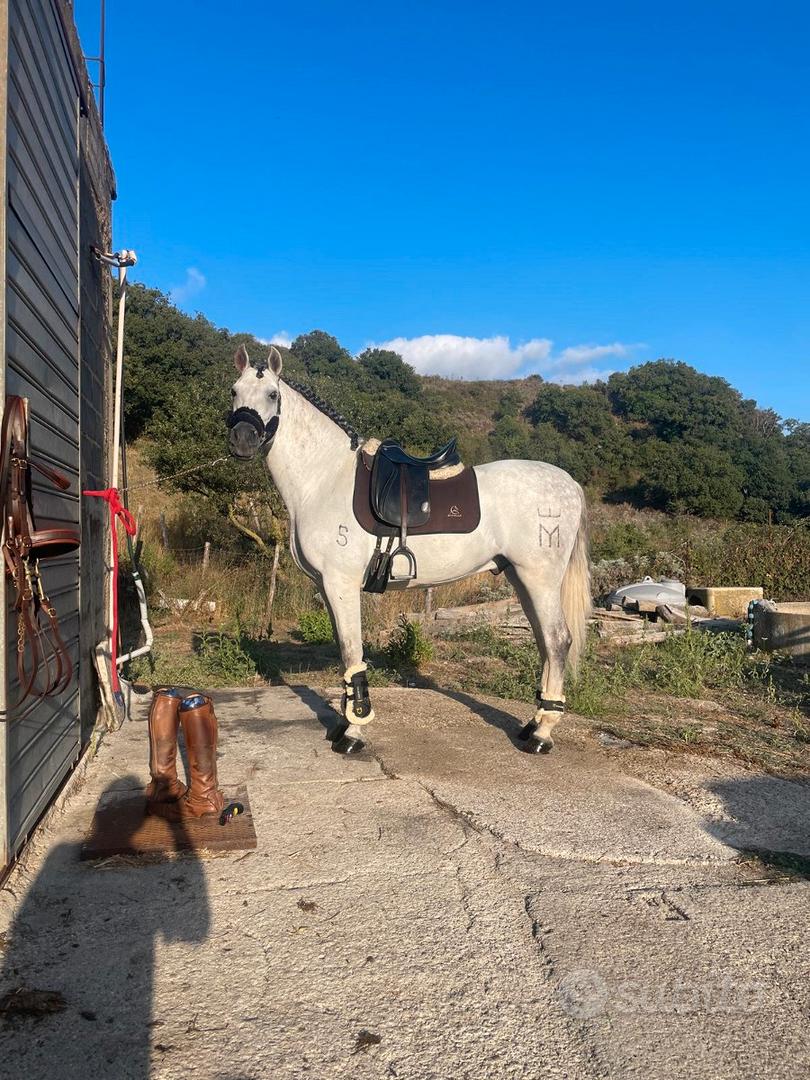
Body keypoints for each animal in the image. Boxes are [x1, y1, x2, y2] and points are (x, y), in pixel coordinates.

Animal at [227, 345, 591, 756]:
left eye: (272, 395)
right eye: (234, 391)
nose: (242, 440)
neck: (325, 478)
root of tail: (570, 484)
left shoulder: (340, 583)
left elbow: (352, 650)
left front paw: (354, 732)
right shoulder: (326, 585)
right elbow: (344, 651)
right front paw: (344, 724)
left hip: (539, 579)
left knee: (558, 641)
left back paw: (543, 735)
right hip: (520, 577)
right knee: (545, 641)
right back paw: (533, 724)